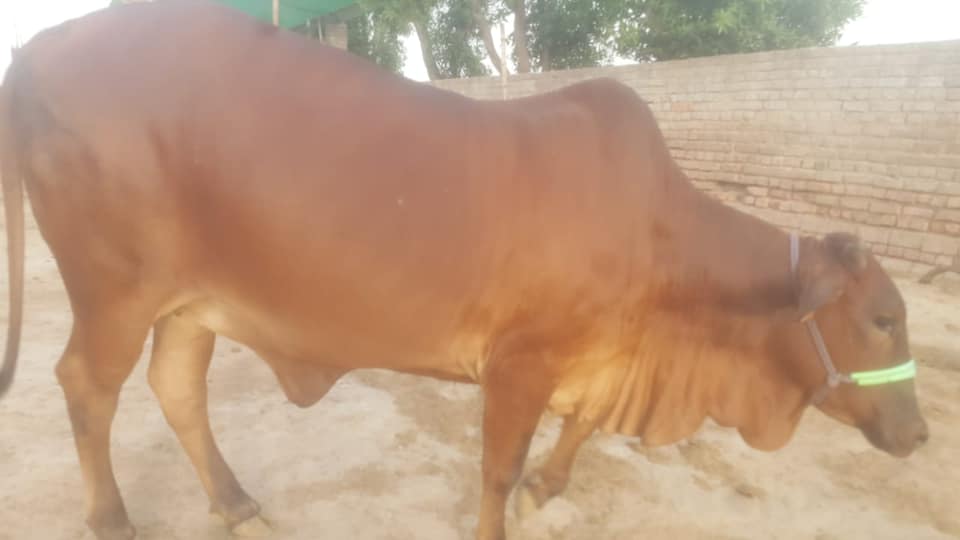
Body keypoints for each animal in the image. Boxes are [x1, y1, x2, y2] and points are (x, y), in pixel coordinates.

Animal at [0, 1, 928, 539]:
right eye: (883, 317)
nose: (921, 436)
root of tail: (38, 46)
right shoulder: (519, 365)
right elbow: (497, 470)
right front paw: (518, 498)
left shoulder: (594, 356)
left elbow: (577, 427)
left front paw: (550, 488)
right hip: (115, 291)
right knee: (85, 385)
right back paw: (113, 520)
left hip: (190, 303)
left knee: (176, 387)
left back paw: (233, 503)